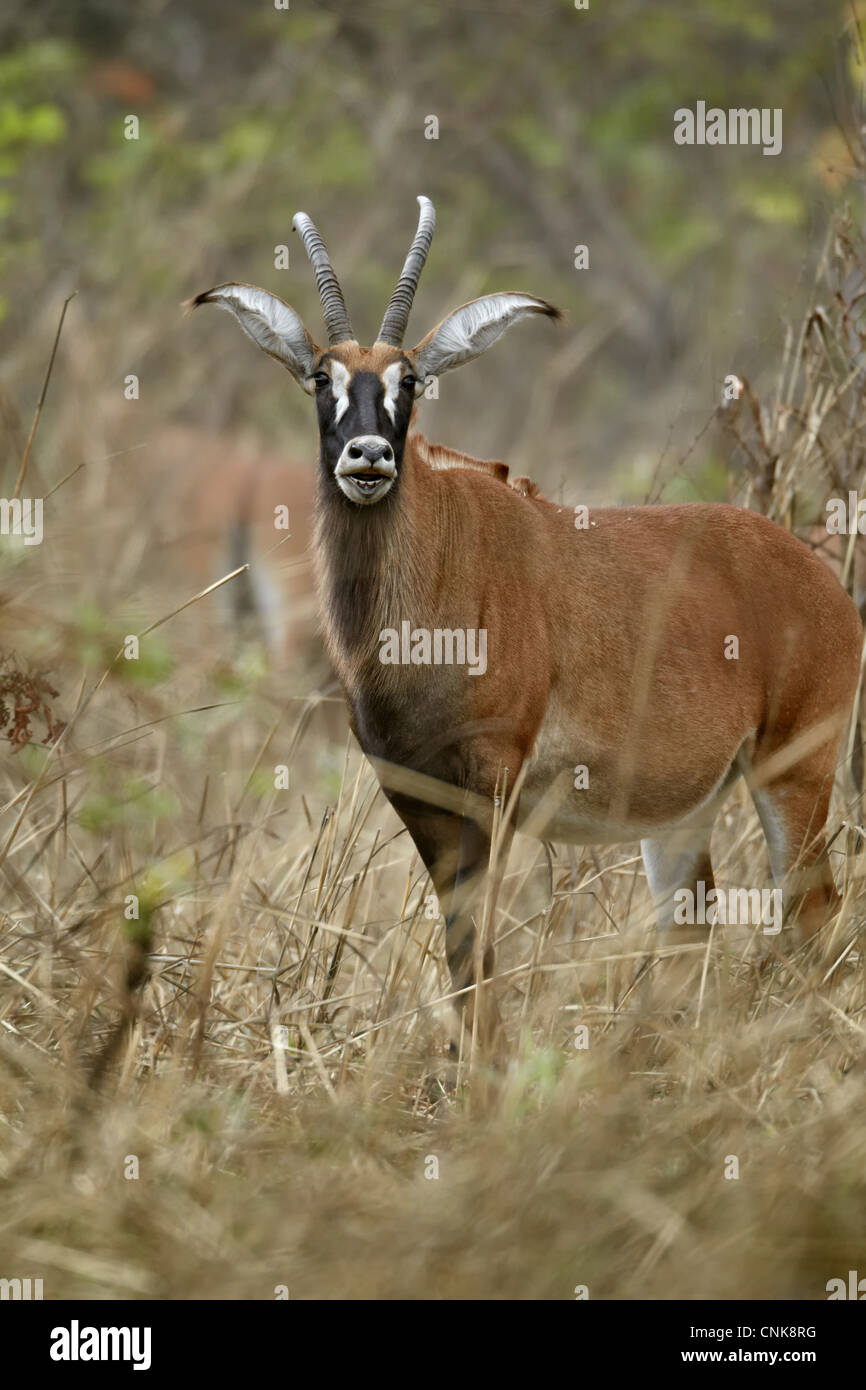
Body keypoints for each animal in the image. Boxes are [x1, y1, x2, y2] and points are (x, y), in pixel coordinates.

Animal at [188, 196, 862, 1048]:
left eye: (410, 378)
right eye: (319, 375)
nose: (369, 456)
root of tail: (823, 582)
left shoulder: (493, 782)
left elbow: (478, 947)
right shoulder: (413, 789)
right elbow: (458, 948)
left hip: (794, 771)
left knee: (814, 916)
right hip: (685, 808)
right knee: (692, 927)